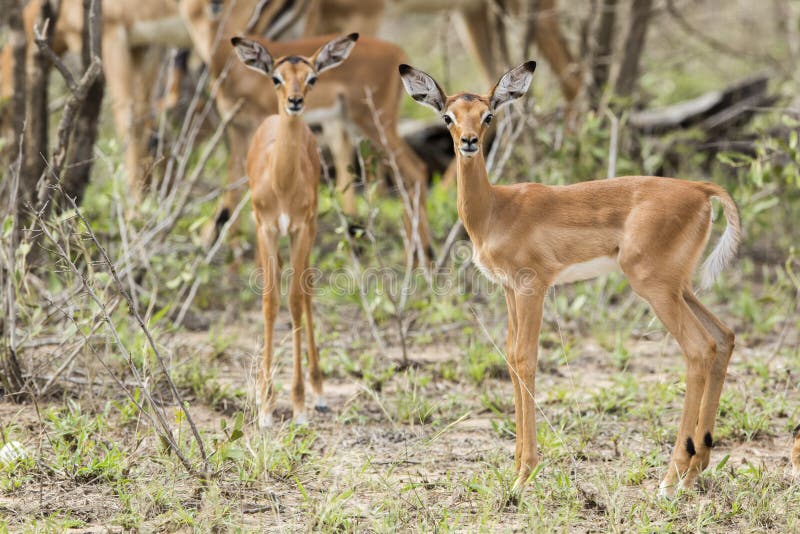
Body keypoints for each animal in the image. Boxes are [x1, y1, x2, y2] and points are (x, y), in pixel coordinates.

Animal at [178, 0, 433, 264]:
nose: (214, 7)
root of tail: (399, 55)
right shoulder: (238, 129)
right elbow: (234, 189)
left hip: (375, 123)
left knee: (416, 170)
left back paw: (419, 260)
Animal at [231, 33, 358, 428]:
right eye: (276, 77)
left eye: (312, 77)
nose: (295, 101)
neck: (282, 183)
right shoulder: (266, 228)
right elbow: (270, 304)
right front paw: (266, 406)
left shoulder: (301, 228)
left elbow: (296, 301)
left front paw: (299, 402)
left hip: (311, 229)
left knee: (308, 290)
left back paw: (318, 392)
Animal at [400, 62, 741, 495]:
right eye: (448, 116)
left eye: (488, 115)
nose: (469, 142)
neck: (495, 209)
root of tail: (700, 189)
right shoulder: (509, 290)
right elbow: (510, 357)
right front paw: (516, 467)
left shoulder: (533, 287)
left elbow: (525, 358)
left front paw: (526, 473)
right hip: (680, 287)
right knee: (723, 337)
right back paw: (697, 467)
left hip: (656, 288)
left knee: (698, 349)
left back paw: (671, 478)